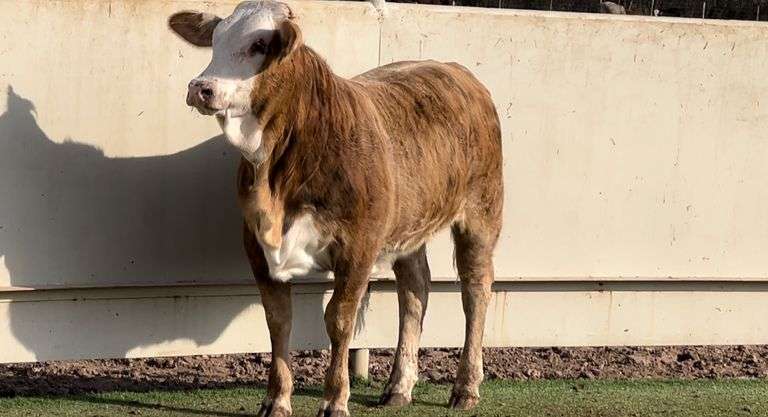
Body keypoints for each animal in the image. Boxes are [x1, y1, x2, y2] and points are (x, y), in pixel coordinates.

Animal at [168, 1, 503, 416]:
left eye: (259, 44)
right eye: (215, 39)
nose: (201, 88)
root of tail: (457, 70)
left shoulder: (359, 247)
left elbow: (339, 319)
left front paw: (335, 399)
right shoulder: (256, 245)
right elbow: (278, 320)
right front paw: (276, 399)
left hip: (481, 212)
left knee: (475, 290)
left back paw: (466, 386)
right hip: (408, 225)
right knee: (414, 290)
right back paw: (398, 385)